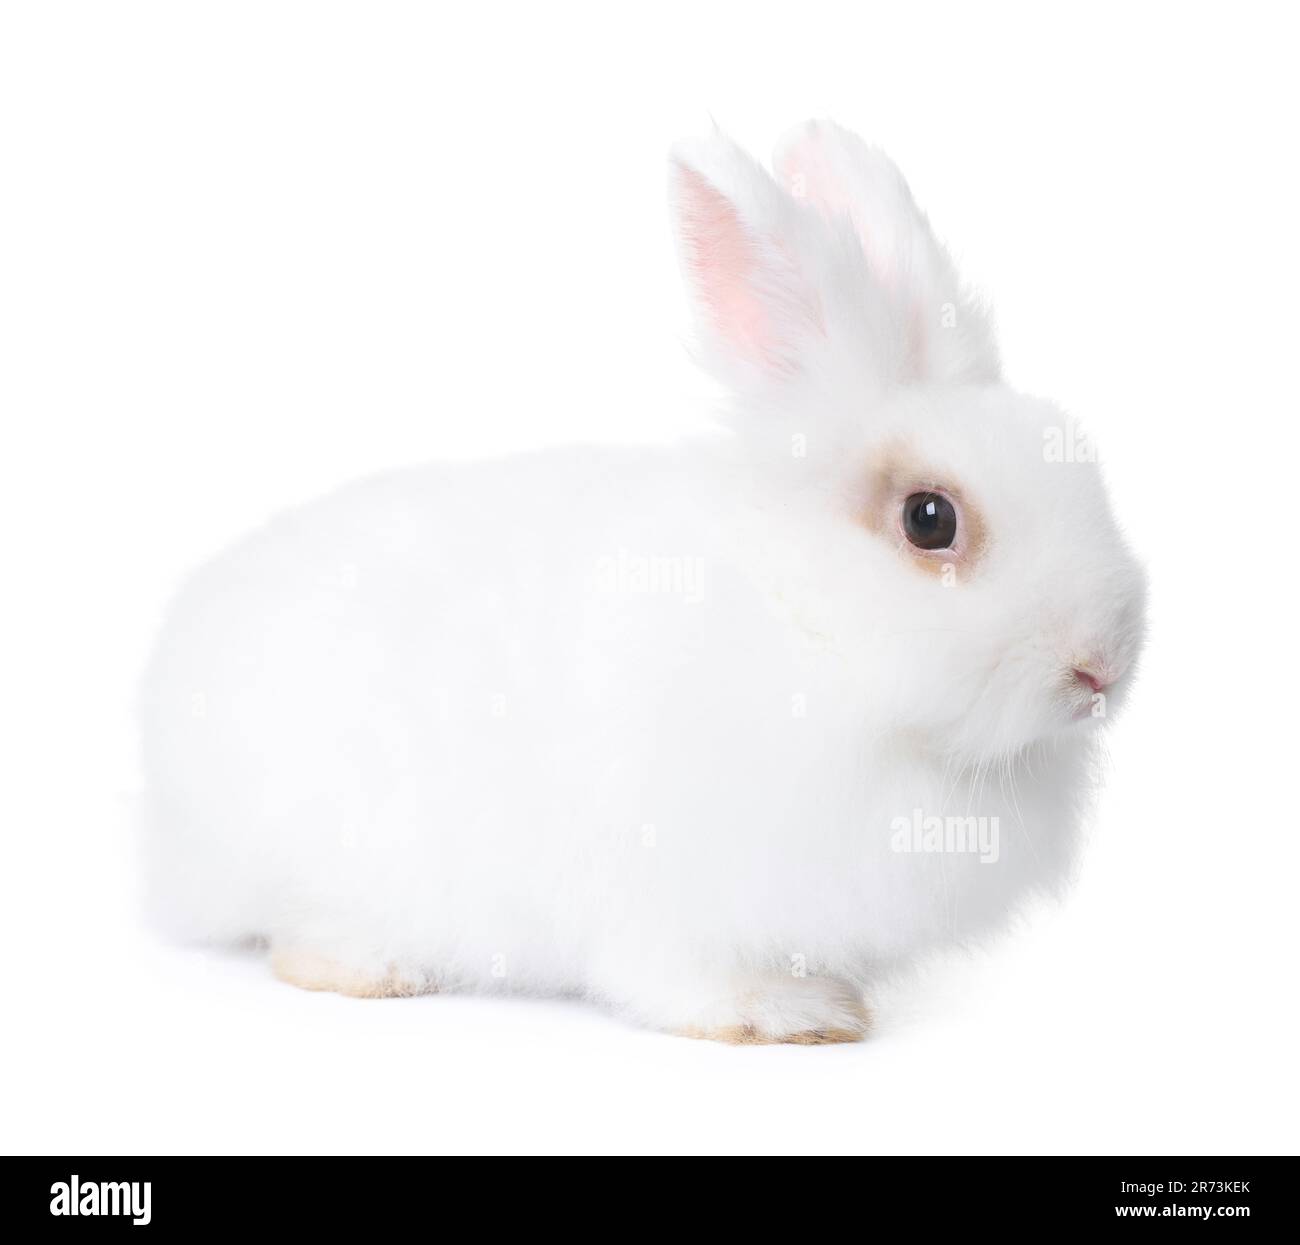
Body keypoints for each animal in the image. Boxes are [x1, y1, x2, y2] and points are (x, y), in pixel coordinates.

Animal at [140, 120, 1146, 1043]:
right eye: (930, 519)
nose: (1101, 665)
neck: (814, 639)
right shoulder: (672, 901)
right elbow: (680, 977)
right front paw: (793, 1015)